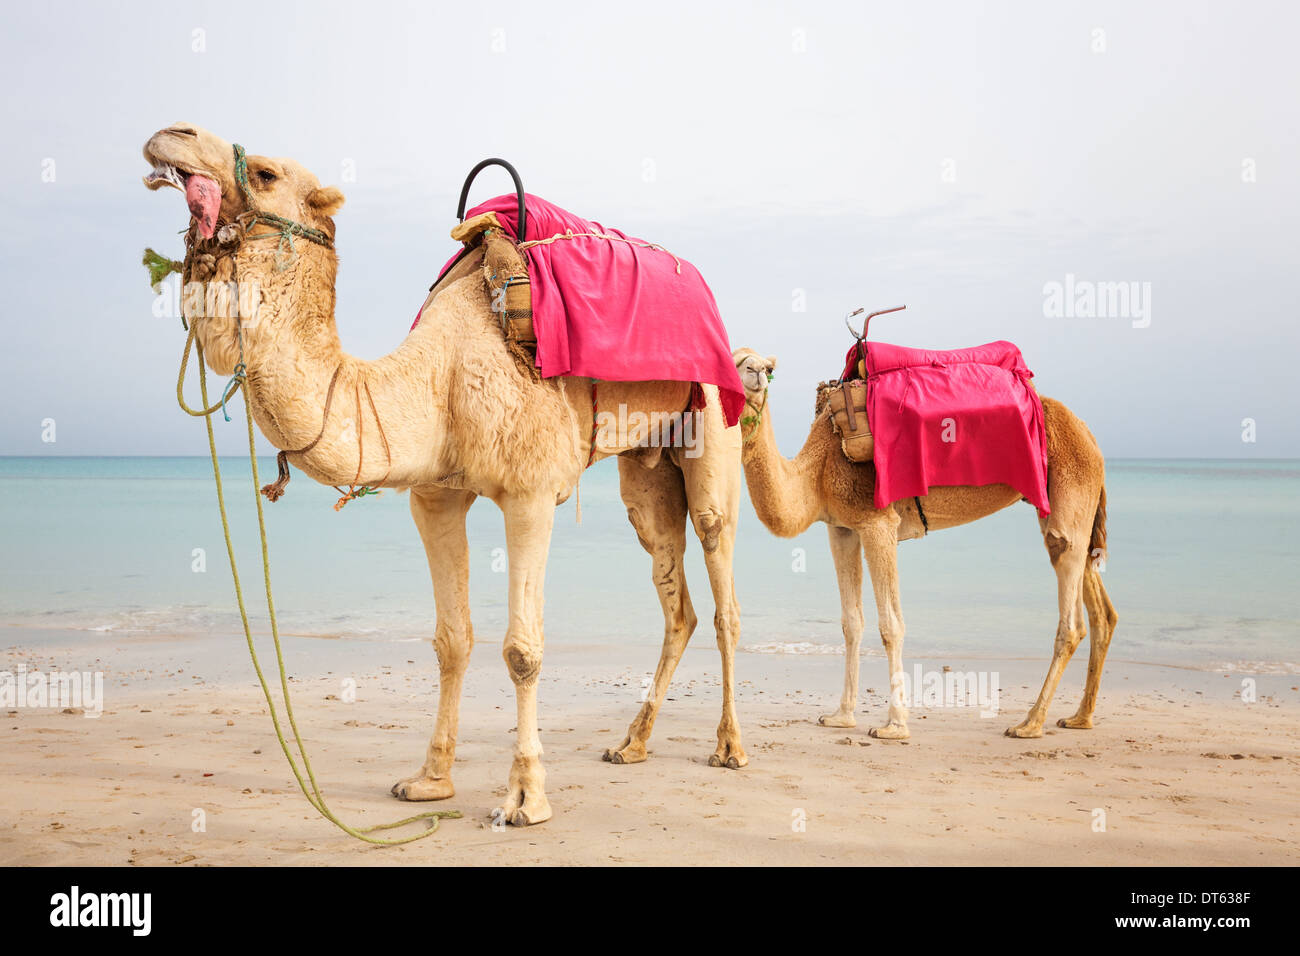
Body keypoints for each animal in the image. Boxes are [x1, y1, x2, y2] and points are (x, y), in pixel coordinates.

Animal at [141, 122, 748, 827]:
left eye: (265, 173)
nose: (170, 136)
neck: (439, 382)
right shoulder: (434, 497)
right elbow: (451, 640)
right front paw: (429, 781)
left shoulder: (529, 492)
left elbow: (522, 650)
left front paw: (525, 797)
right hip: (646, 471)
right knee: (675, 594)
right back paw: (632, 744)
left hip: (714, 416)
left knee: (721, 575)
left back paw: (730, 747)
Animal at [732, 347, 1117, 739]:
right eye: (736, 359)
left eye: (768, 367)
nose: (756, 372)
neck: (818, 470)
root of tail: (1090, 435)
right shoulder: (842, 529)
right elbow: (851, 622)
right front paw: (841, 715)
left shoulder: (878, 523)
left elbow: (891, 625)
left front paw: (894, 725)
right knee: (1099, 604)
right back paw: (1079, 717)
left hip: (1072, 484)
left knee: (1071, 613)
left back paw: (1030, 722)